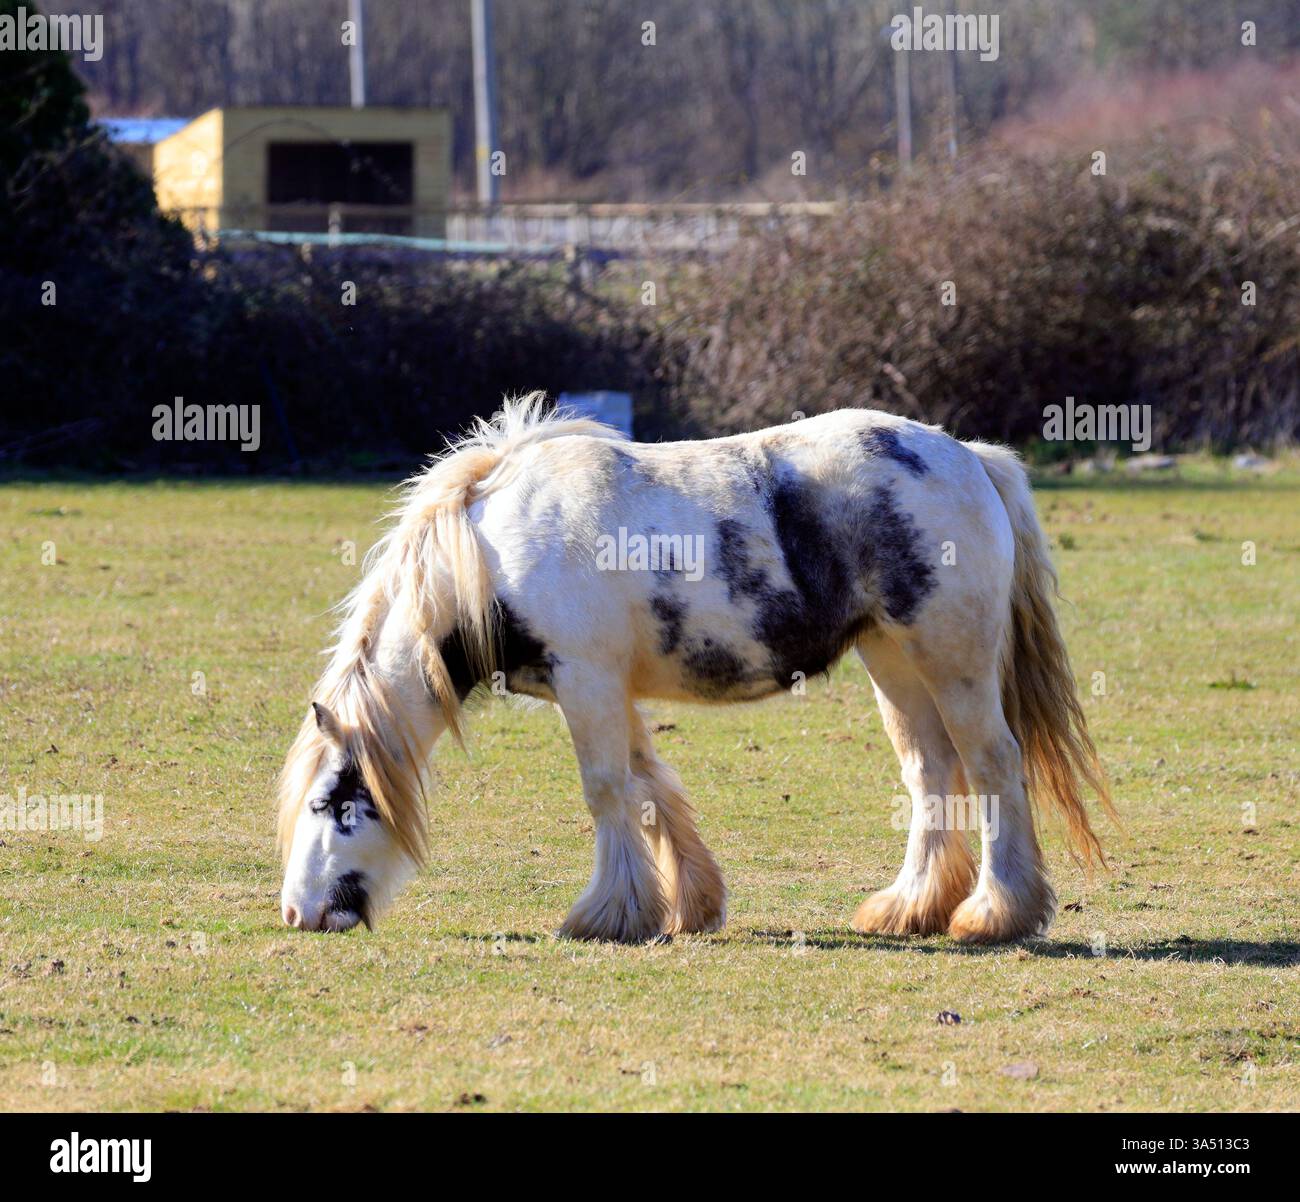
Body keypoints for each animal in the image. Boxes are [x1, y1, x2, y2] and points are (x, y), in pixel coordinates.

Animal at [277, 394, 1113, 943]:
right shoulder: (608, 692)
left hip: (951, 661)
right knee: (930, 771)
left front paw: (606, 916)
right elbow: (651, 788)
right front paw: (688, 905)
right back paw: (909, 908)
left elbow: (608, 790)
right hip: (893, 661)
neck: (491, 550)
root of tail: (970, 456)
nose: (295, 911)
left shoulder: (586, 683)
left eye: (329, 804)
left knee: (993, 762)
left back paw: (994, 914)